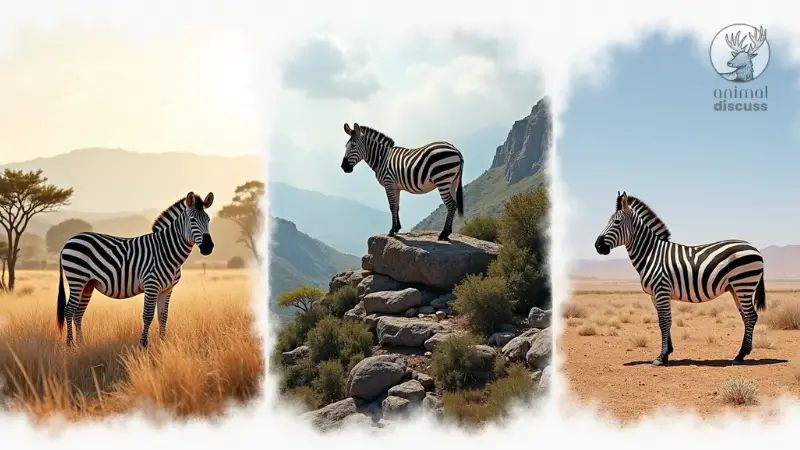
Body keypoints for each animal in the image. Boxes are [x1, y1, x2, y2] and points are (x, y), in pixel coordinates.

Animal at [56, 192, 216, 348]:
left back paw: (81, 344)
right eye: (192, 220)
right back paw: (70, 345)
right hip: (77, 279)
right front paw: (144, 344)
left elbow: (163, 316)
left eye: (208, 220)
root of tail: (69, 240)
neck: (166, 250)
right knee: (69, 310)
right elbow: (148, 315)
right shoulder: (151, 285)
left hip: (88, 284)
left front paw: (162, 343)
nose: (208, 247)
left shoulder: (167, 289)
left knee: (78, 313)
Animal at [593, 191, 766, 366]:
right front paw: (667, 353)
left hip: (743, 284)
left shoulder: (661, 289)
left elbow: (665, 321)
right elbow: (662, 320)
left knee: (751, 316)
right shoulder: (655, 295)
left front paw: (661, 357)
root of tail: (755, 249)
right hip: (736, 288)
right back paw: (742, 354)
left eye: (616, 222)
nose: (597, 246)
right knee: (746, 317)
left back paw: (740, 355)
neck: (651, 254)